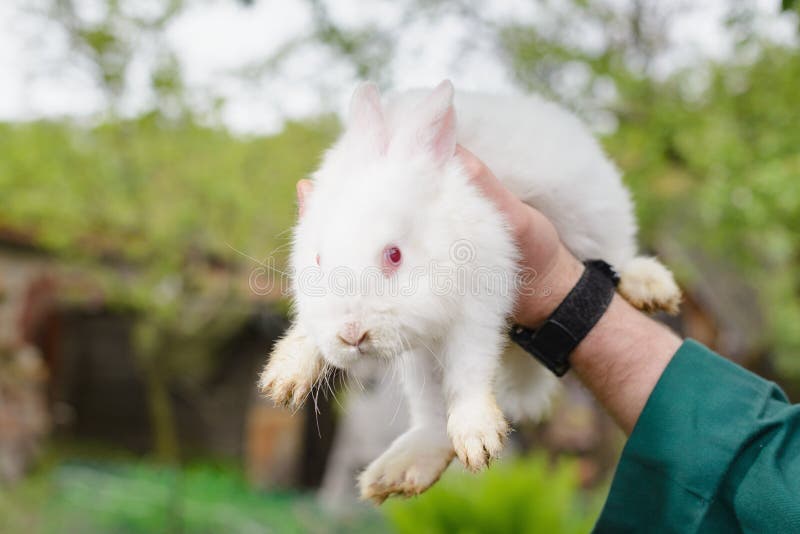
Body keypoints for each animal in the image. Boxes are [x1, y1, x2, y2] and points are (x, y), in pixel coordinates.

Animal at [259, 80, 681, 503]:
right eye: (317, 260)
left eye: (394, 254)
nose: (352, 334)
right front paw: (285, 375)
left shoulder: (481, 299)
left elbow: (470, 366)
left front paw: (478, 435)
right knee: (430, 416)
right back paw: (400, 471)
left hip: (594, 218)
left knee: (618, 254)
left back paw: (649, 284)